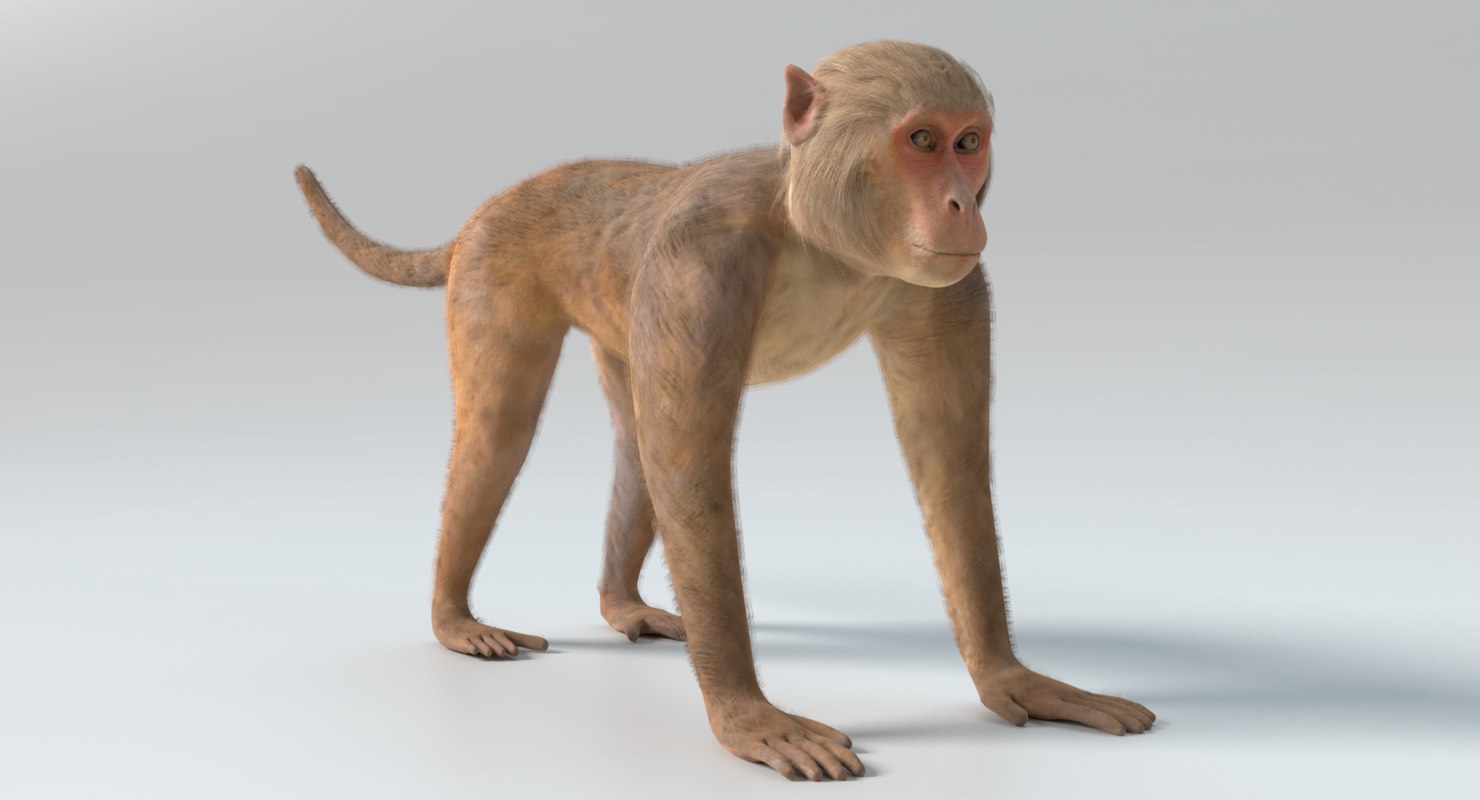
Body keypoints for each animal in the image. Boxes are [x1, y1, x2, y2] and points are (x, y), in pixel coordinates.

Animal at [295, 40, 1154, 781]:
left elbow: (951, 469)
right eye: (921, 139)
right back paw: (454, 618)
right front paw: (747, 716)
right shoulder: (698, 266)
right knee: (502, 433)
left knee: (633, 439)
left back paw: (623, 605)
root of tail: (489, 208)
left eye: (968, 142)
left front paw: (1012, 676)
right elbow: (692, 471)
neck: (819, 238)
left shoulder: (947, 284)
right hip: (494, 267)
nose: (959, 204)